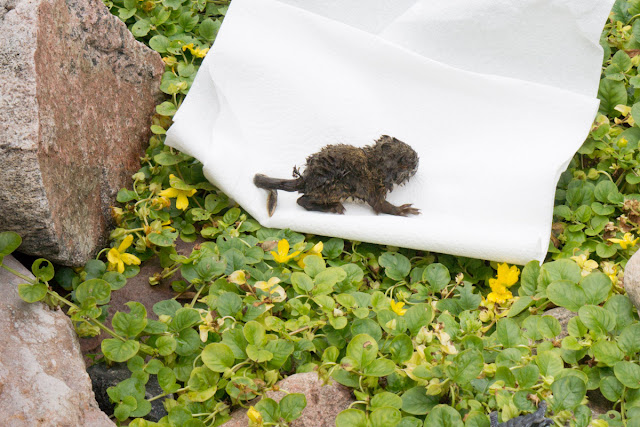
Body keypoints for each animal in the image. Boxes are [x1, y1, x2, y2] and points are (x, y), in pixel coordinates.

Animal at [254, 135, 420, 217]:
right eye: (406, 160)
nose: (417, 160)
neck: (374, 165)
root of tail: (305, 180)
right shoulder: (371, 186)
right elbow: (378, 204)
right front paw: (404, 210)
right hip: (334, 188)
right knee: (301, 200)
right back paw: (334, 207)